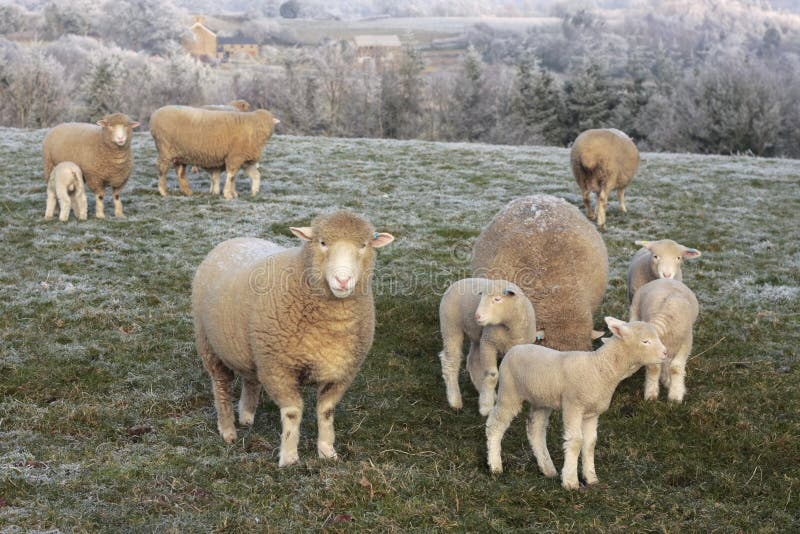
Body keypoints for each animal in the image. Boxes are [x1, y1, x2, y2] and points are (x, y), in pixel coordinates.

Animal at [149, 105, 278, 199]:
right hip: (165, 150)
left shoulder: (244, 159)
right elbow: (231, 176)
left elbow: (255, 175)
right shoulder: (234, 156)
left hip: (179, 155)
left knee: (180, 172)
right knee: (162, 170)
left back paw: (187, 191)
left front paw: (253, 192)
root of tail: (155, 114)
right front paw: (228, 194)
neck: (254, 127)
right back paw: (163, 191)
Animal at [192, 211, 395, 467]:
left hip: (253, 350)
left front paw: (327, 451)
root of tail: (234, 239)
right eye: (322, 242)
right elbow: (292, 412)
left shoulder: (341, 371)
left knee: (250, 378)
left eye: (363, 245)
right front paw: (289, 457)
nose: (342, 280)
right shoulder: (278, 369)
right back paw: (228, 429)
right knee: (220, 386)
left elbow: (326, 411)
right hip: (209, 344)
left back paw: (246, 415)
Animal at [438, 278, 538, 415]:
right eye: (481, 297)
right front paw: (486, 406)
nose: (477, 316)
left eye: (497, 299)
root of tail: (456, 282)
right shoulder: (488, 343)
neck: (509, 328)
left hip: (476, 337)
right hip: (451, 327)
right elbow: (492, 375)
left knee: (473, 362)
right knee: (450, 361)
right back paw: (454, 399)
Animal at [485, 317, 667, 490]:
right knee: (495, 425)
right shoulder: (573, 406)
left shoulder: (592, 413)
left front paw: (591, 478)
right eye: (645, 341)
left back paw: (548, 469)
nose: (665, 353)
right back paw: (495, 466)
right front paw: (570, 481)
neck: (600, 367)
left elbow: (590, 443)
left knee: (535, 430)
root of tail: (515, 348)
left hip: (541, 400)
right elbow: (575, 441)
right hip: (509, 392)